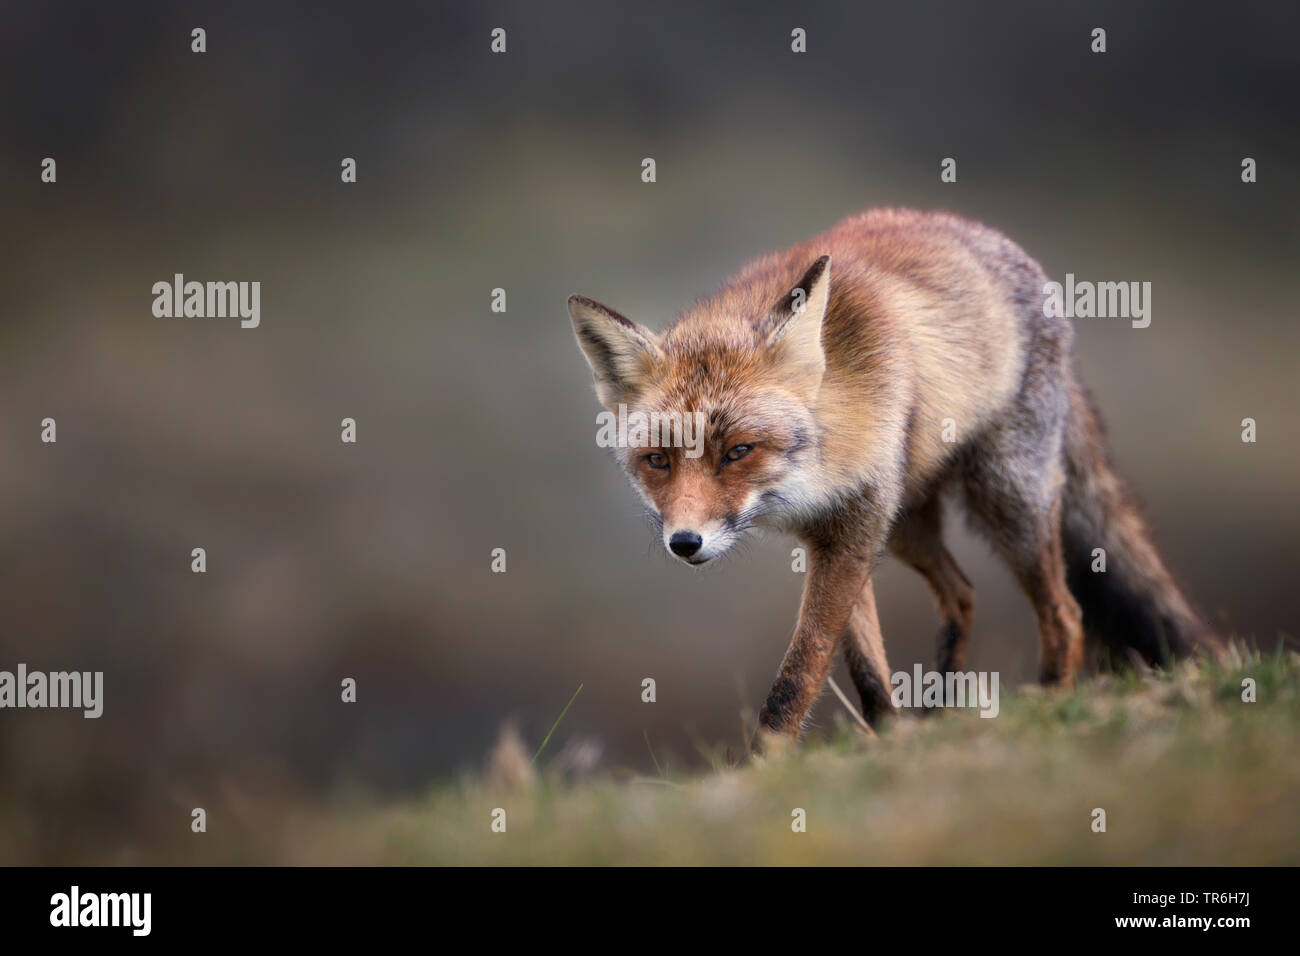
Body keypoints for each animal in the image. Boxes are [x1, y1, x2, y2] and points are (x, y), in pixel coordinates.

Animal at [567, 207, 1222, 753]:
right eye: (658, 460)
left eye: (739, 452)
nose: (685, 543)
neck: (820, 464)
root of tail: (997, 240)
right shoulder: (831, 536)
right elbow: (865, 668)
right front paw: (887, 739)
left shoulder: (855, 529)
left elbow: (801, 670)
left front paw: (764, 767)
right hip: (907, 526)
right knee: (962, 593)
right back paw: (940, 714)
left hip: (1006, 499)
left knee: (1065, 613)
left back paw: (1051, 706)